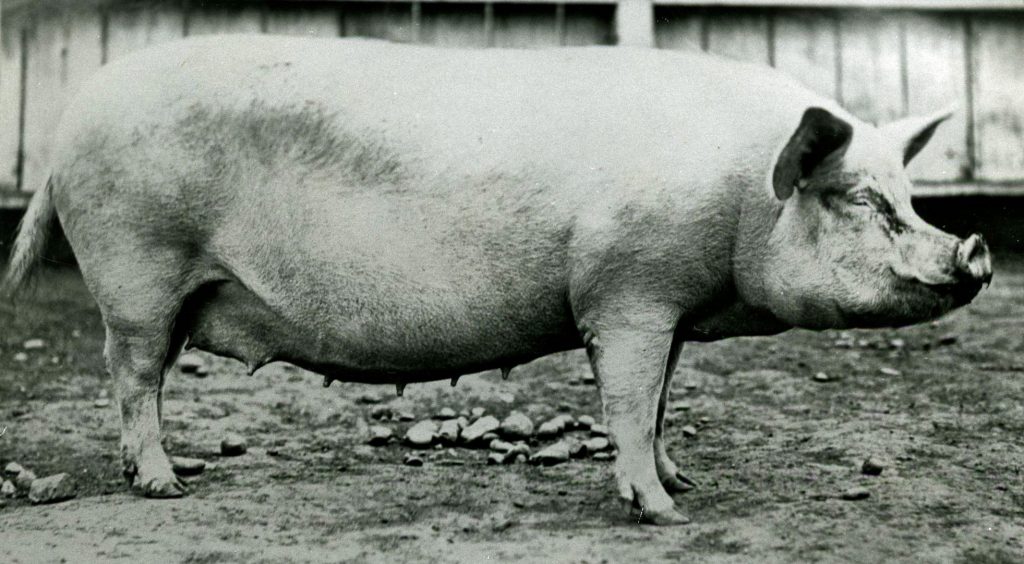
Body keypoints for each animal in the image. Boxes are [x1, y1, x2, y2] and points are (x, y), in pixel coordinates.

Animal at [1, 36, 991, 525]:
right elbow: (629, 403)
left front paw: (689, 482)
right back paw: (166, 486)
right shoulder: (626, 293)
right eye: (857, 198)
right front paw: (662, 514)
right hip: (136, 269)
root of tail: (62, 133)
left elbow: (662, 401)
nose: (974, 252)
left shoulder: (665, 310)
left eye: (911, 196)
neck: (744, 196)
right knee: (132, 377)